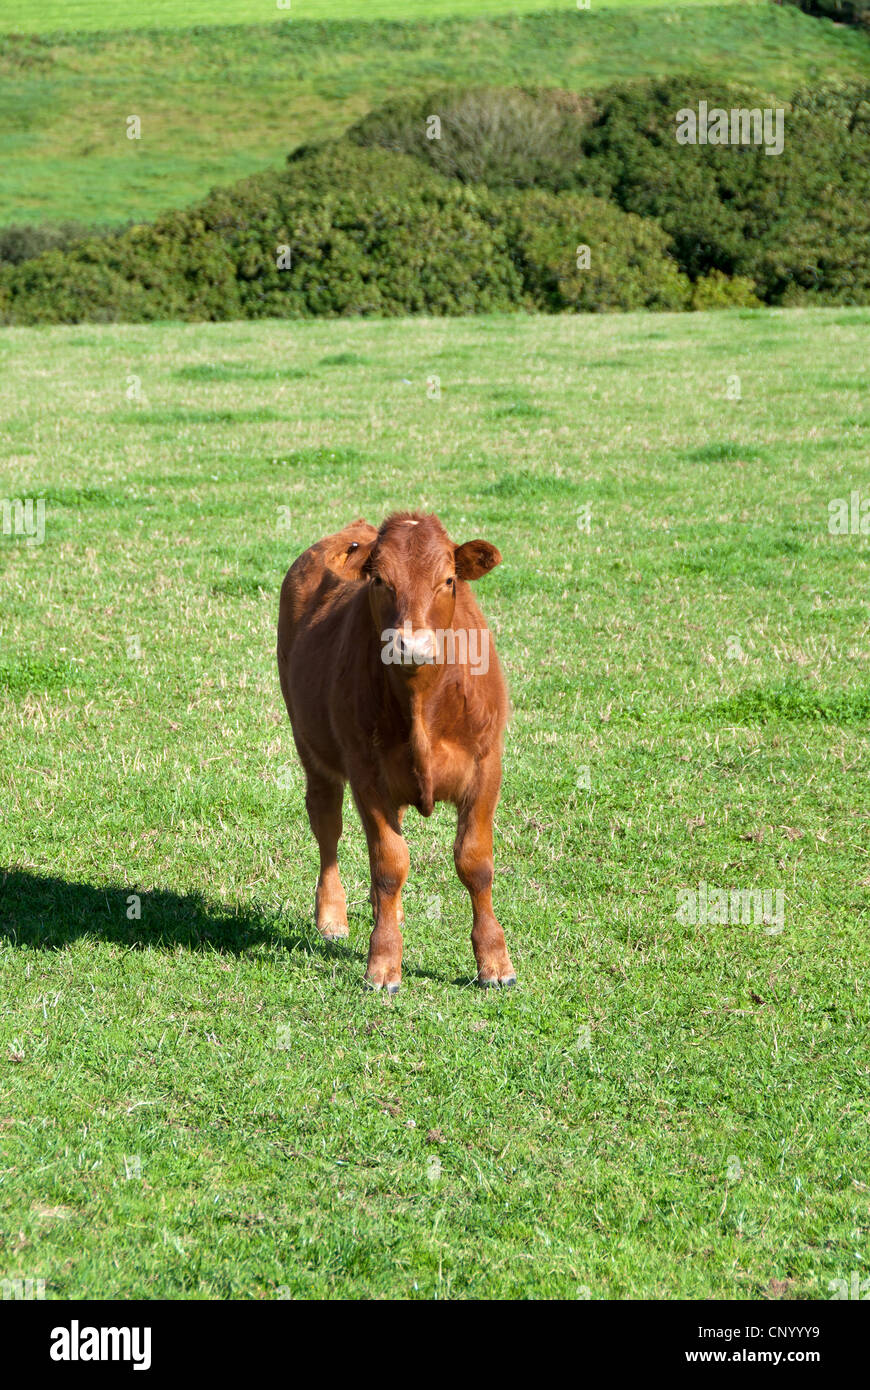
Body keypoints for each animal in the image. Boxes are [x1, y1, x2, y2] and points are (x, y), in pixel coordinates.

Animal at [277, 510, 515, 994]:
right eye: (379, 580)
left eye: (448, 579)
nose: (412, 646)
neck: (422, 699)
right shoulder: (366, 775)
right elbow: (388, 863)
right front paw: (383, 963)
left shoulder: (486, 767)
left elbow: (475, 862)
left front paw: (494, 962)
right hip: (312, 750)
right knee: (326, 826)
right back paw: (332, 917)